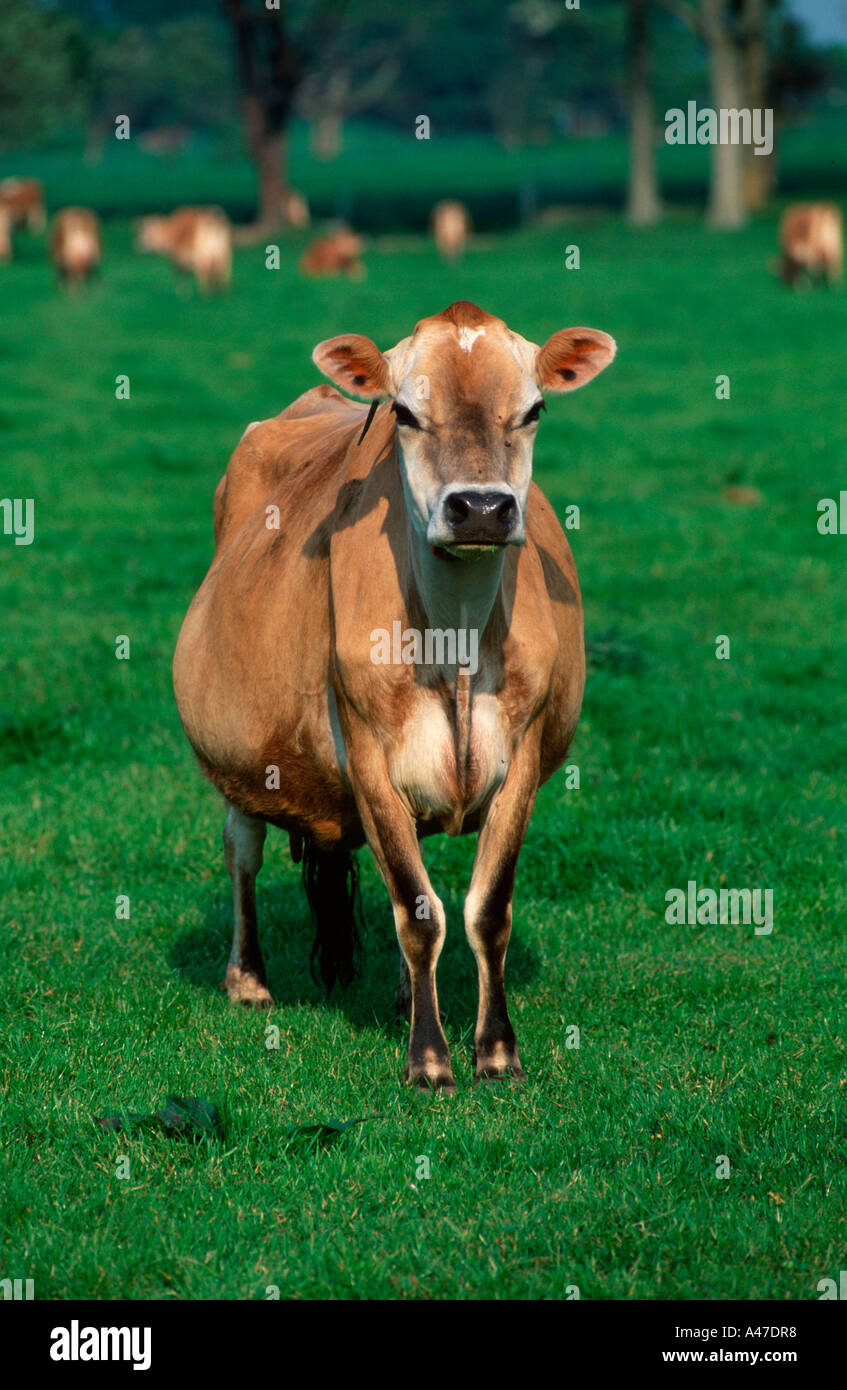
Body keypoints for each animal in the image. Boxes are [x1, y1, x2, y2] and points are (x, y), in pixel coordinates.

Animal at [173, 300, 616, 1090]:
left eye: (533, 409)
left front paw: (495, 1050)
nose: (480, 507)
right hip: (238, 760)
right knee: (242, 852)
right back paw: (248, 979)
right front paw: (430, 1059)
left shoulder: (524, 759)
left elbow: (483, 911)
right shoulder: (370, 761)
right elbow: (420, 915)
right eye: (406, 413)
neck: (457, 647)